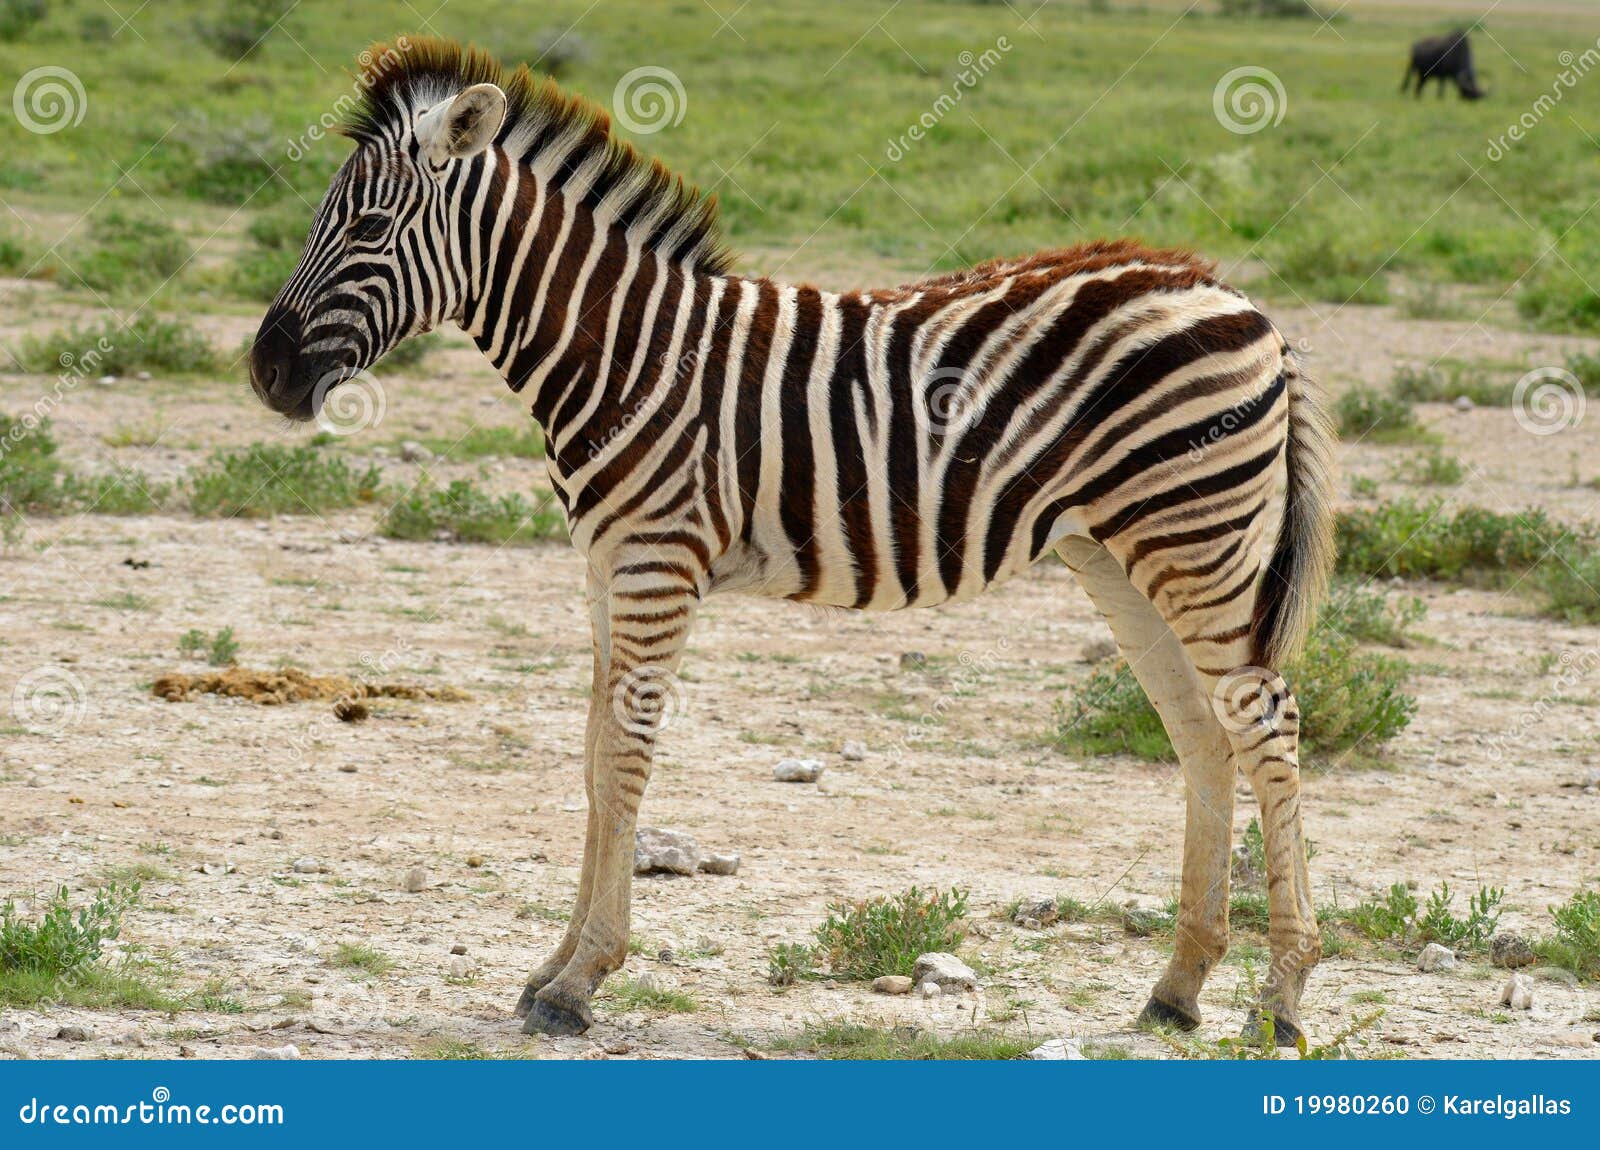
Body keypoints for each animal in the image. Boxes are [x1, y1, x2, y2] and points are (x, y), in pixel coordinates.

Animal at [250, 38, 1337, 1042]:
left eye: (368, 225)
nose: (266, 373)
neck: (624, 352)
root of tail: (1232, 293)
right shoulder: (604, 569)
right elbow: (593, 756)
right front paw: (553, 966)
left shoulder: (655, 563)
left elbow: (626, 757)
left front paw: (579, 980)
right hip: (1113, 549)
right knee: (1203, 735)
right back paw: (1177, 989)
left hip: (1196, 536)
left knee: (1266, 725)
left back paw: (1279, 1001)